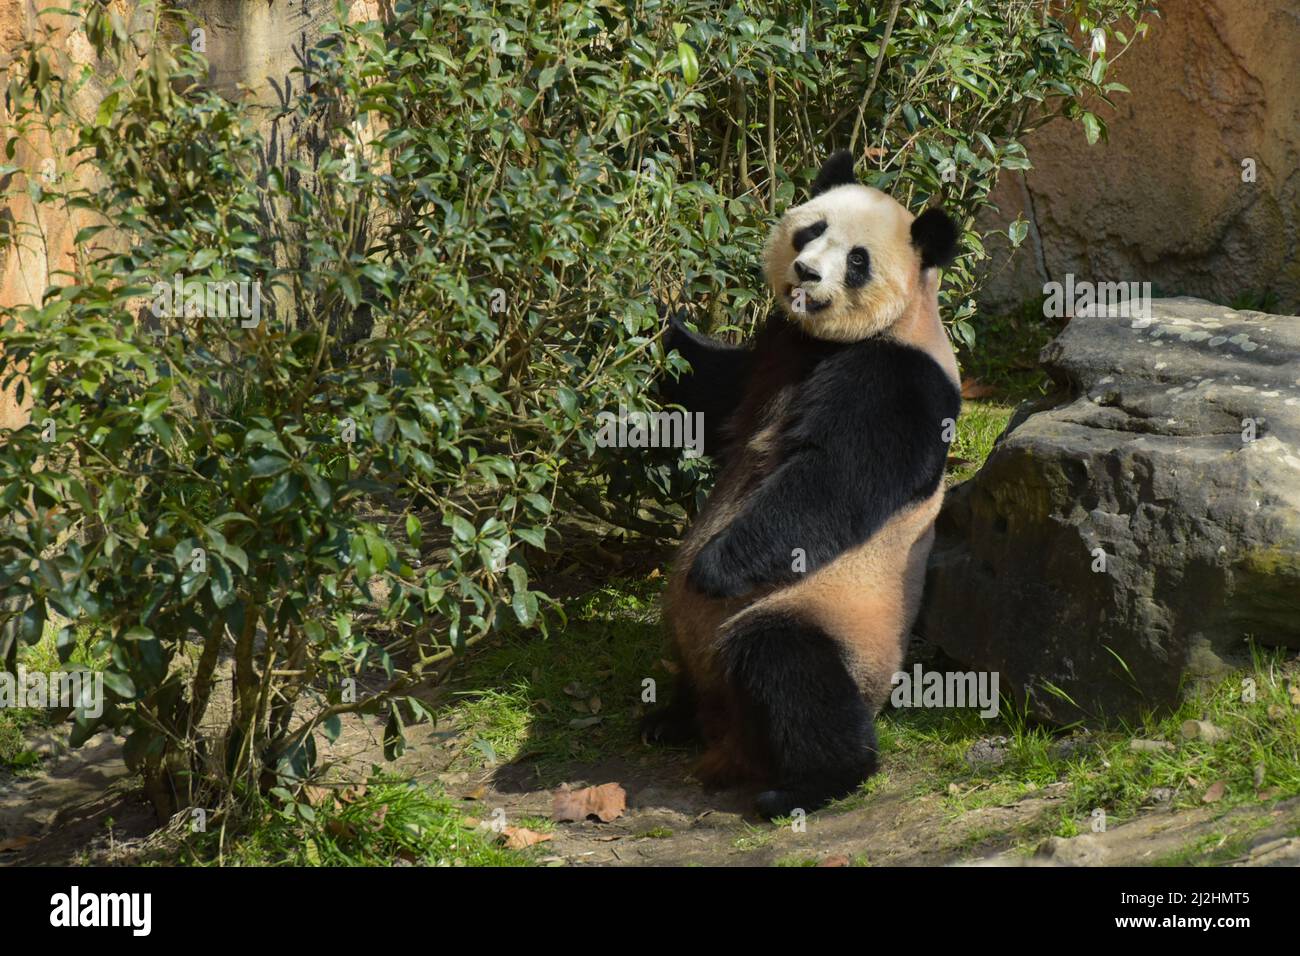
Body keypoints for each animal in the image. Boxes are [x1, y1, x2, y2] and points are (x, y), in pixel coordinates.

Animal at [643, 150, 962, 819]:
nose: (807, 272)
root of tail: (726, 731)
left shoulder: (899, 379)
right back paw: (668, 720)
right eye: (812, 229)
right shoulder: (773, 348)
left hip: (830, 615)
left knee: (790, 672)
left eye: (858, 260)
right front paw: (652, 314)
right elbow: (707, 386)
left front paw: (713, 567)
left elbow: (835, 478)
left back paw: (810, 784)